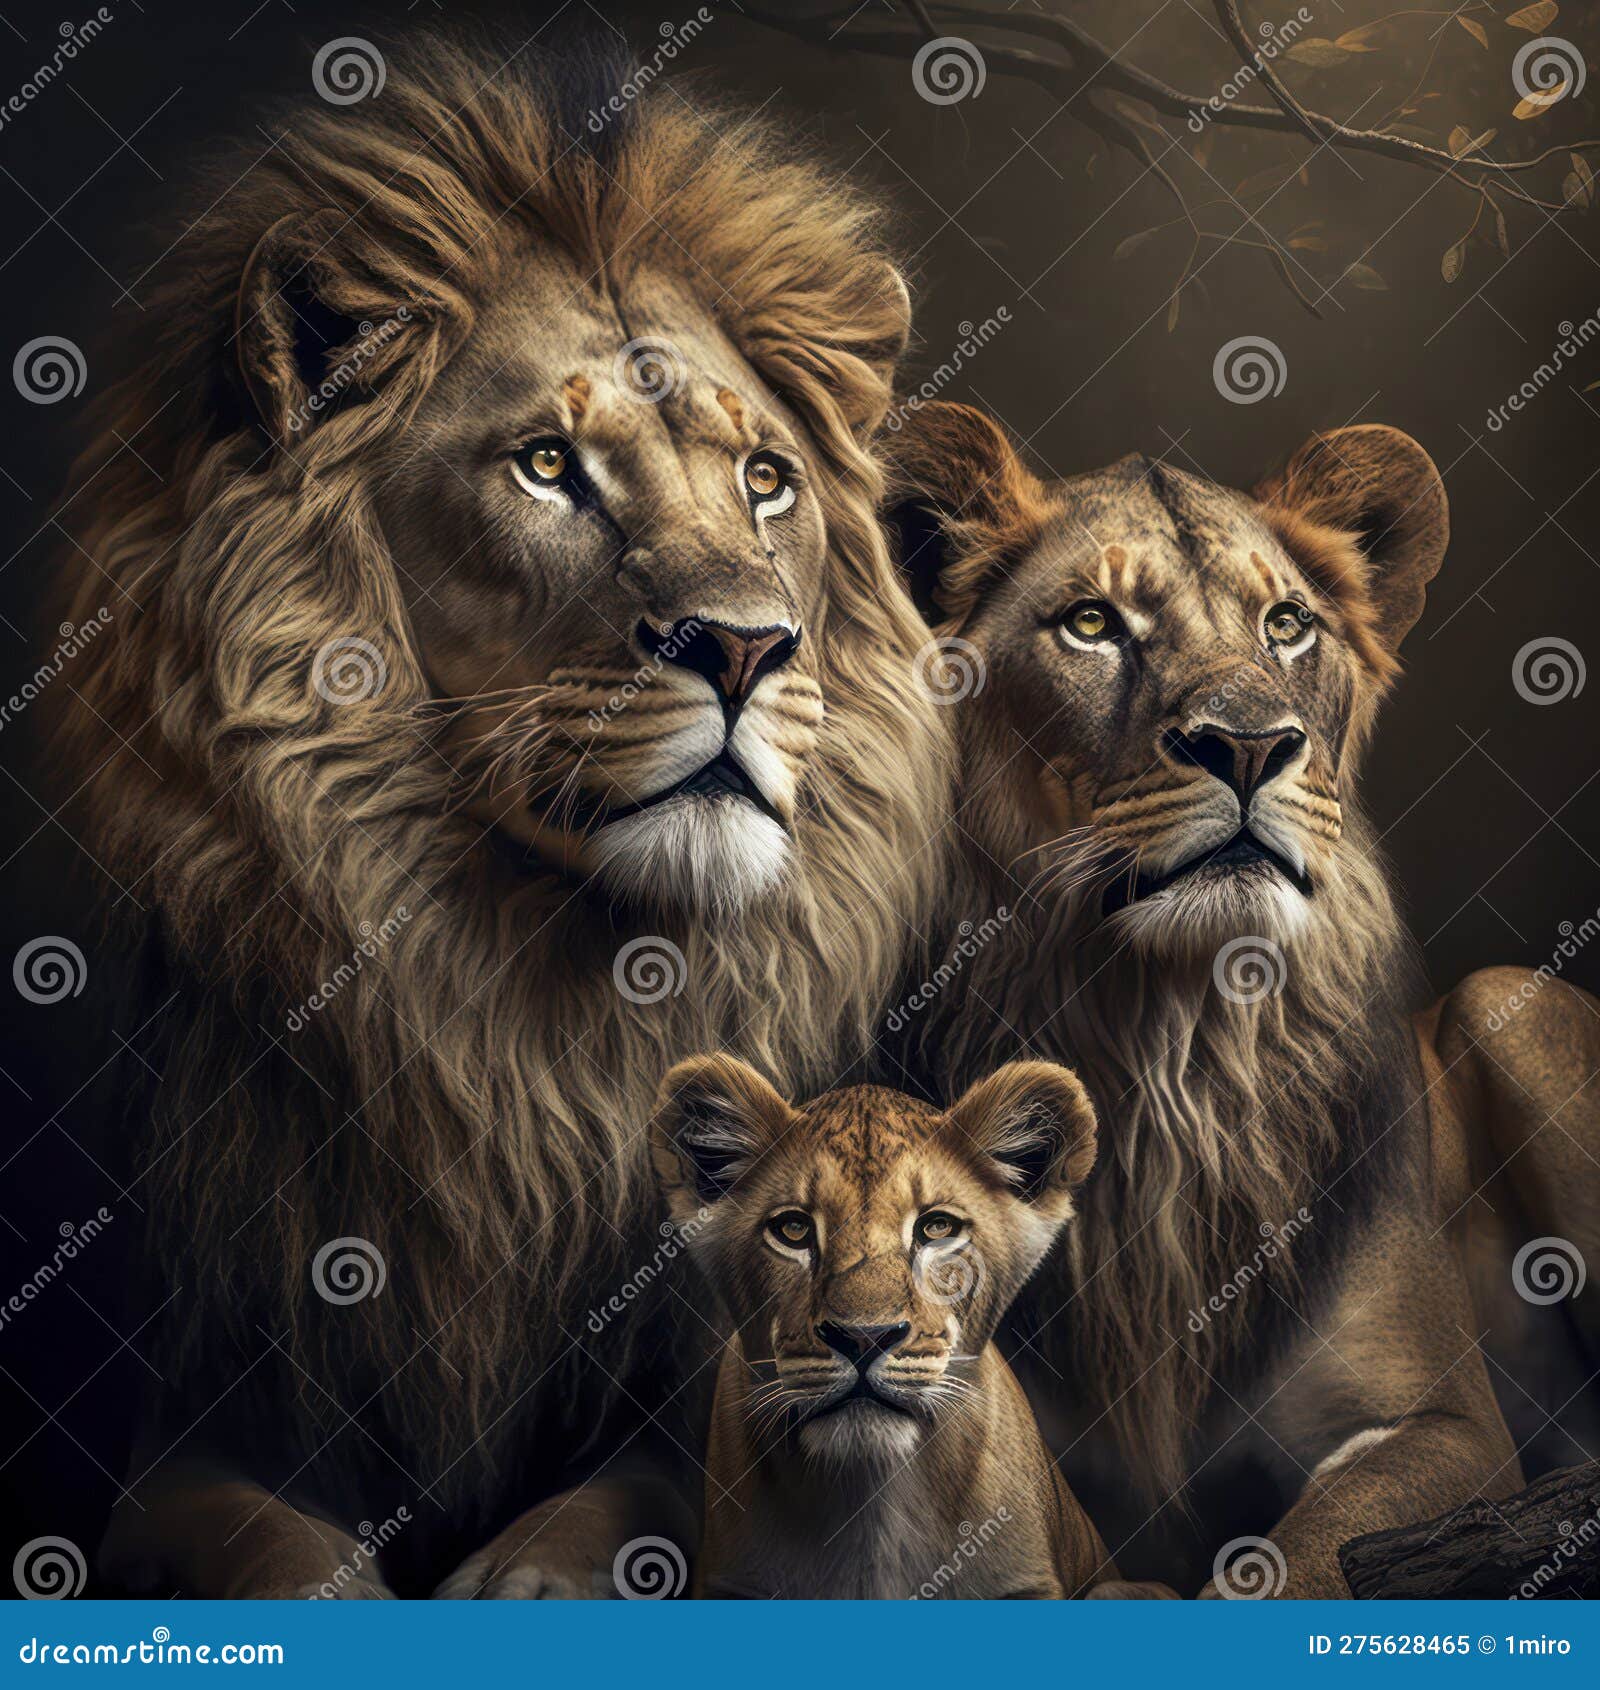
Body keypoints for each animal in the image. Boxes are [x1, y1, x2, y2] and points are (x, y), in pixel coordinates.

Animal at [52, 40, 952, 1597]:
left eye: (765, 479)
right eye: (546, 466)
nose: (745, 648)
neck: (538, 1002)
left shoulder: (716, 1390)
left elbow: (619, 1510)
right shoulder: (203, 1414)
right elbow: (275, 1555)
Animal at [883, 402, 1600, 1597]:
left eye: (1286, 624)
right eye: (1091, 624)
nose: (1253, 743)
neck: (1178, 1041)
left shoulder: (1448, 1426)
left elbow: (1297, 1558)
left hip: (1513, 1003)